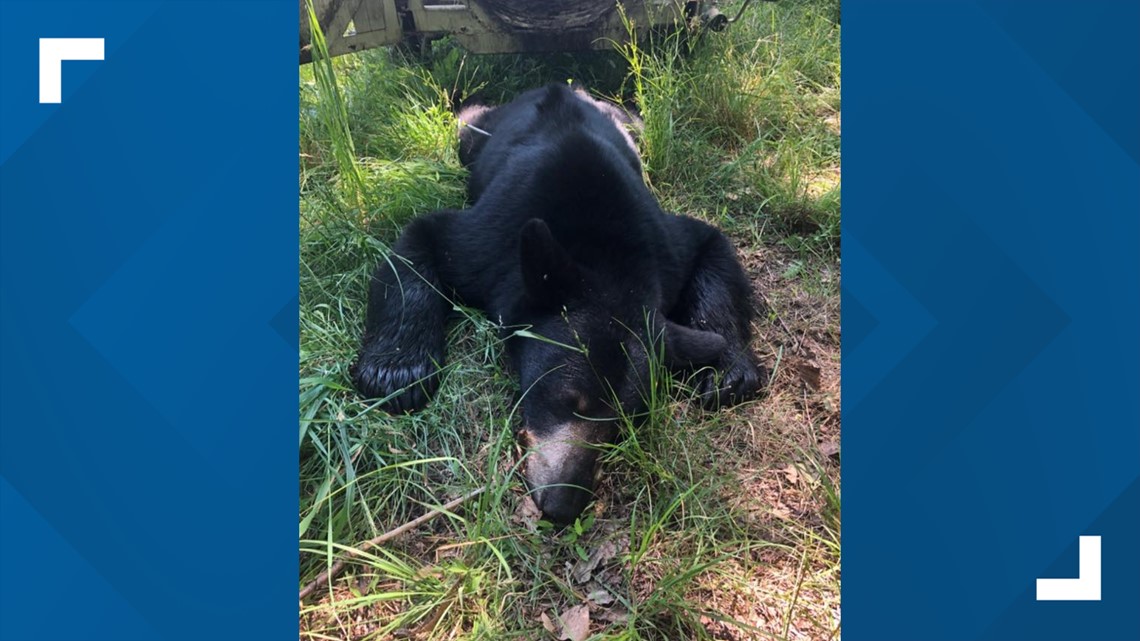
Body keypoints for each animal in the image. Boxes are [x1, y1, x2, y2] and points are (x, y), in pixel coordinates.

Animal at [352, 84, 765, 524]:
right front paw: (396, 371)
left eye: (622, 425)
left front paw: (730, 370)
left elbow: (713, 249)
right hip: (475, 134)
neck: (602, 258)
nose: (562, 506)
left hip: (633, 124)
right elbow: (421, 243)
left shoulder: (666, 249)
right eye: (567, 400)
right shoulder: (488, 244)